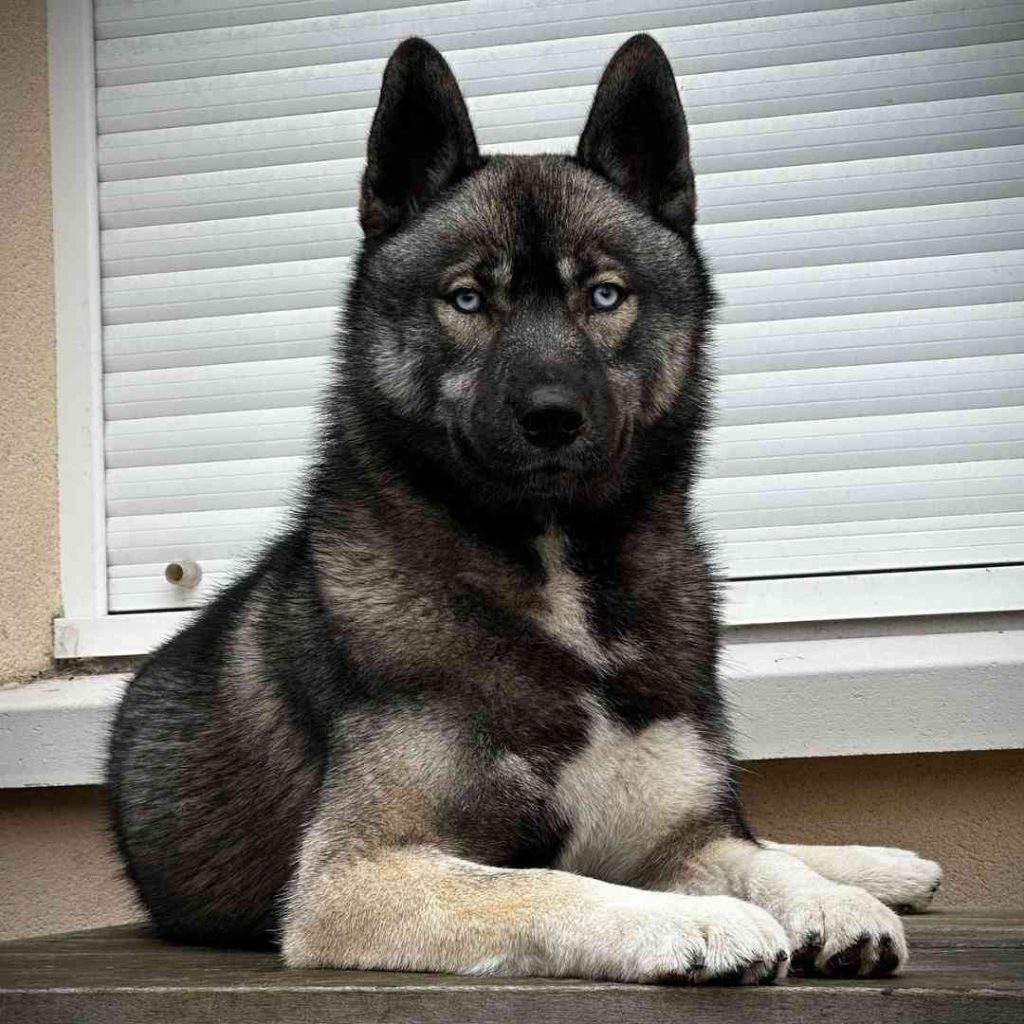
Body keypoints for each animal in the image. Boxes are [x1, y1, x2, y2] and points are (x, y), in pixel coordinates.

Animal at [107, 34, 941, 984]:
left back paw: (880, 870)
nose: (551, 416)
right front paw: (694, 923)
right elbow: (551, 884)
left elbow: (752, 857)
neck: (556, 568)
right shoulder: (355, 879)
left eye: (604, 295)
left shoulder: (677, 840)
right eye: (469, 298)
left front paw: (833, 902)